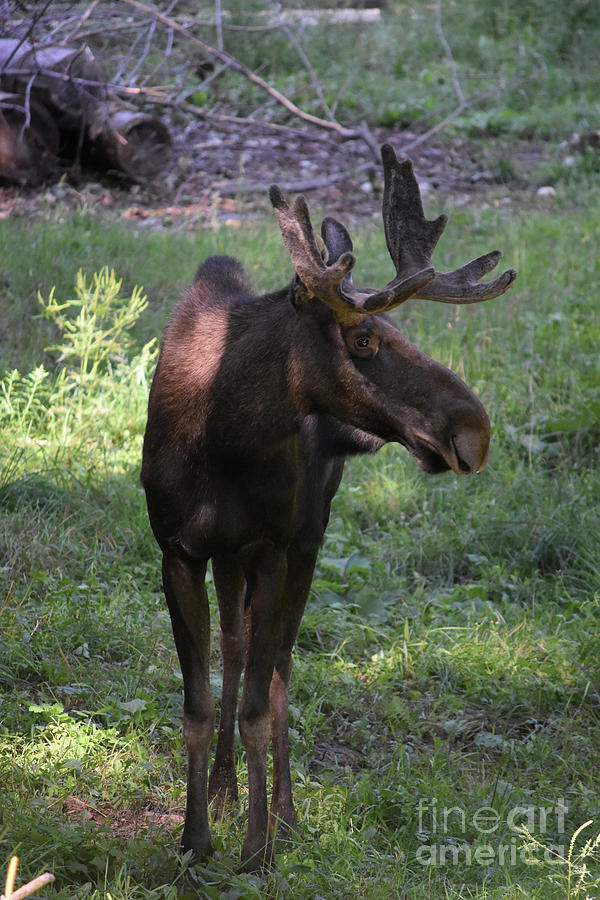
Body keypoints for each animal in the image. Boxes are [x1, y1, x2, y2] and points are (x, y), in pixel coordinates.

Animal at [141, 143, 517, 870]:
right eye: (364, 339)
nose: (475, 430)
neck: (221, 435)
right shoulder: (177, 549)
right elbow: (198, 704)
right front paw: (195, 841)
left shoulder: (274, 545)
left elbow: (260, 705)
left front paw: (258, 847)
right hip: (233, 557)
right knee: (237, 649)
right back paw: (225, 790)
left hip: (307, 536)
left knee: (280, 665)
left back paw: (284, 815)